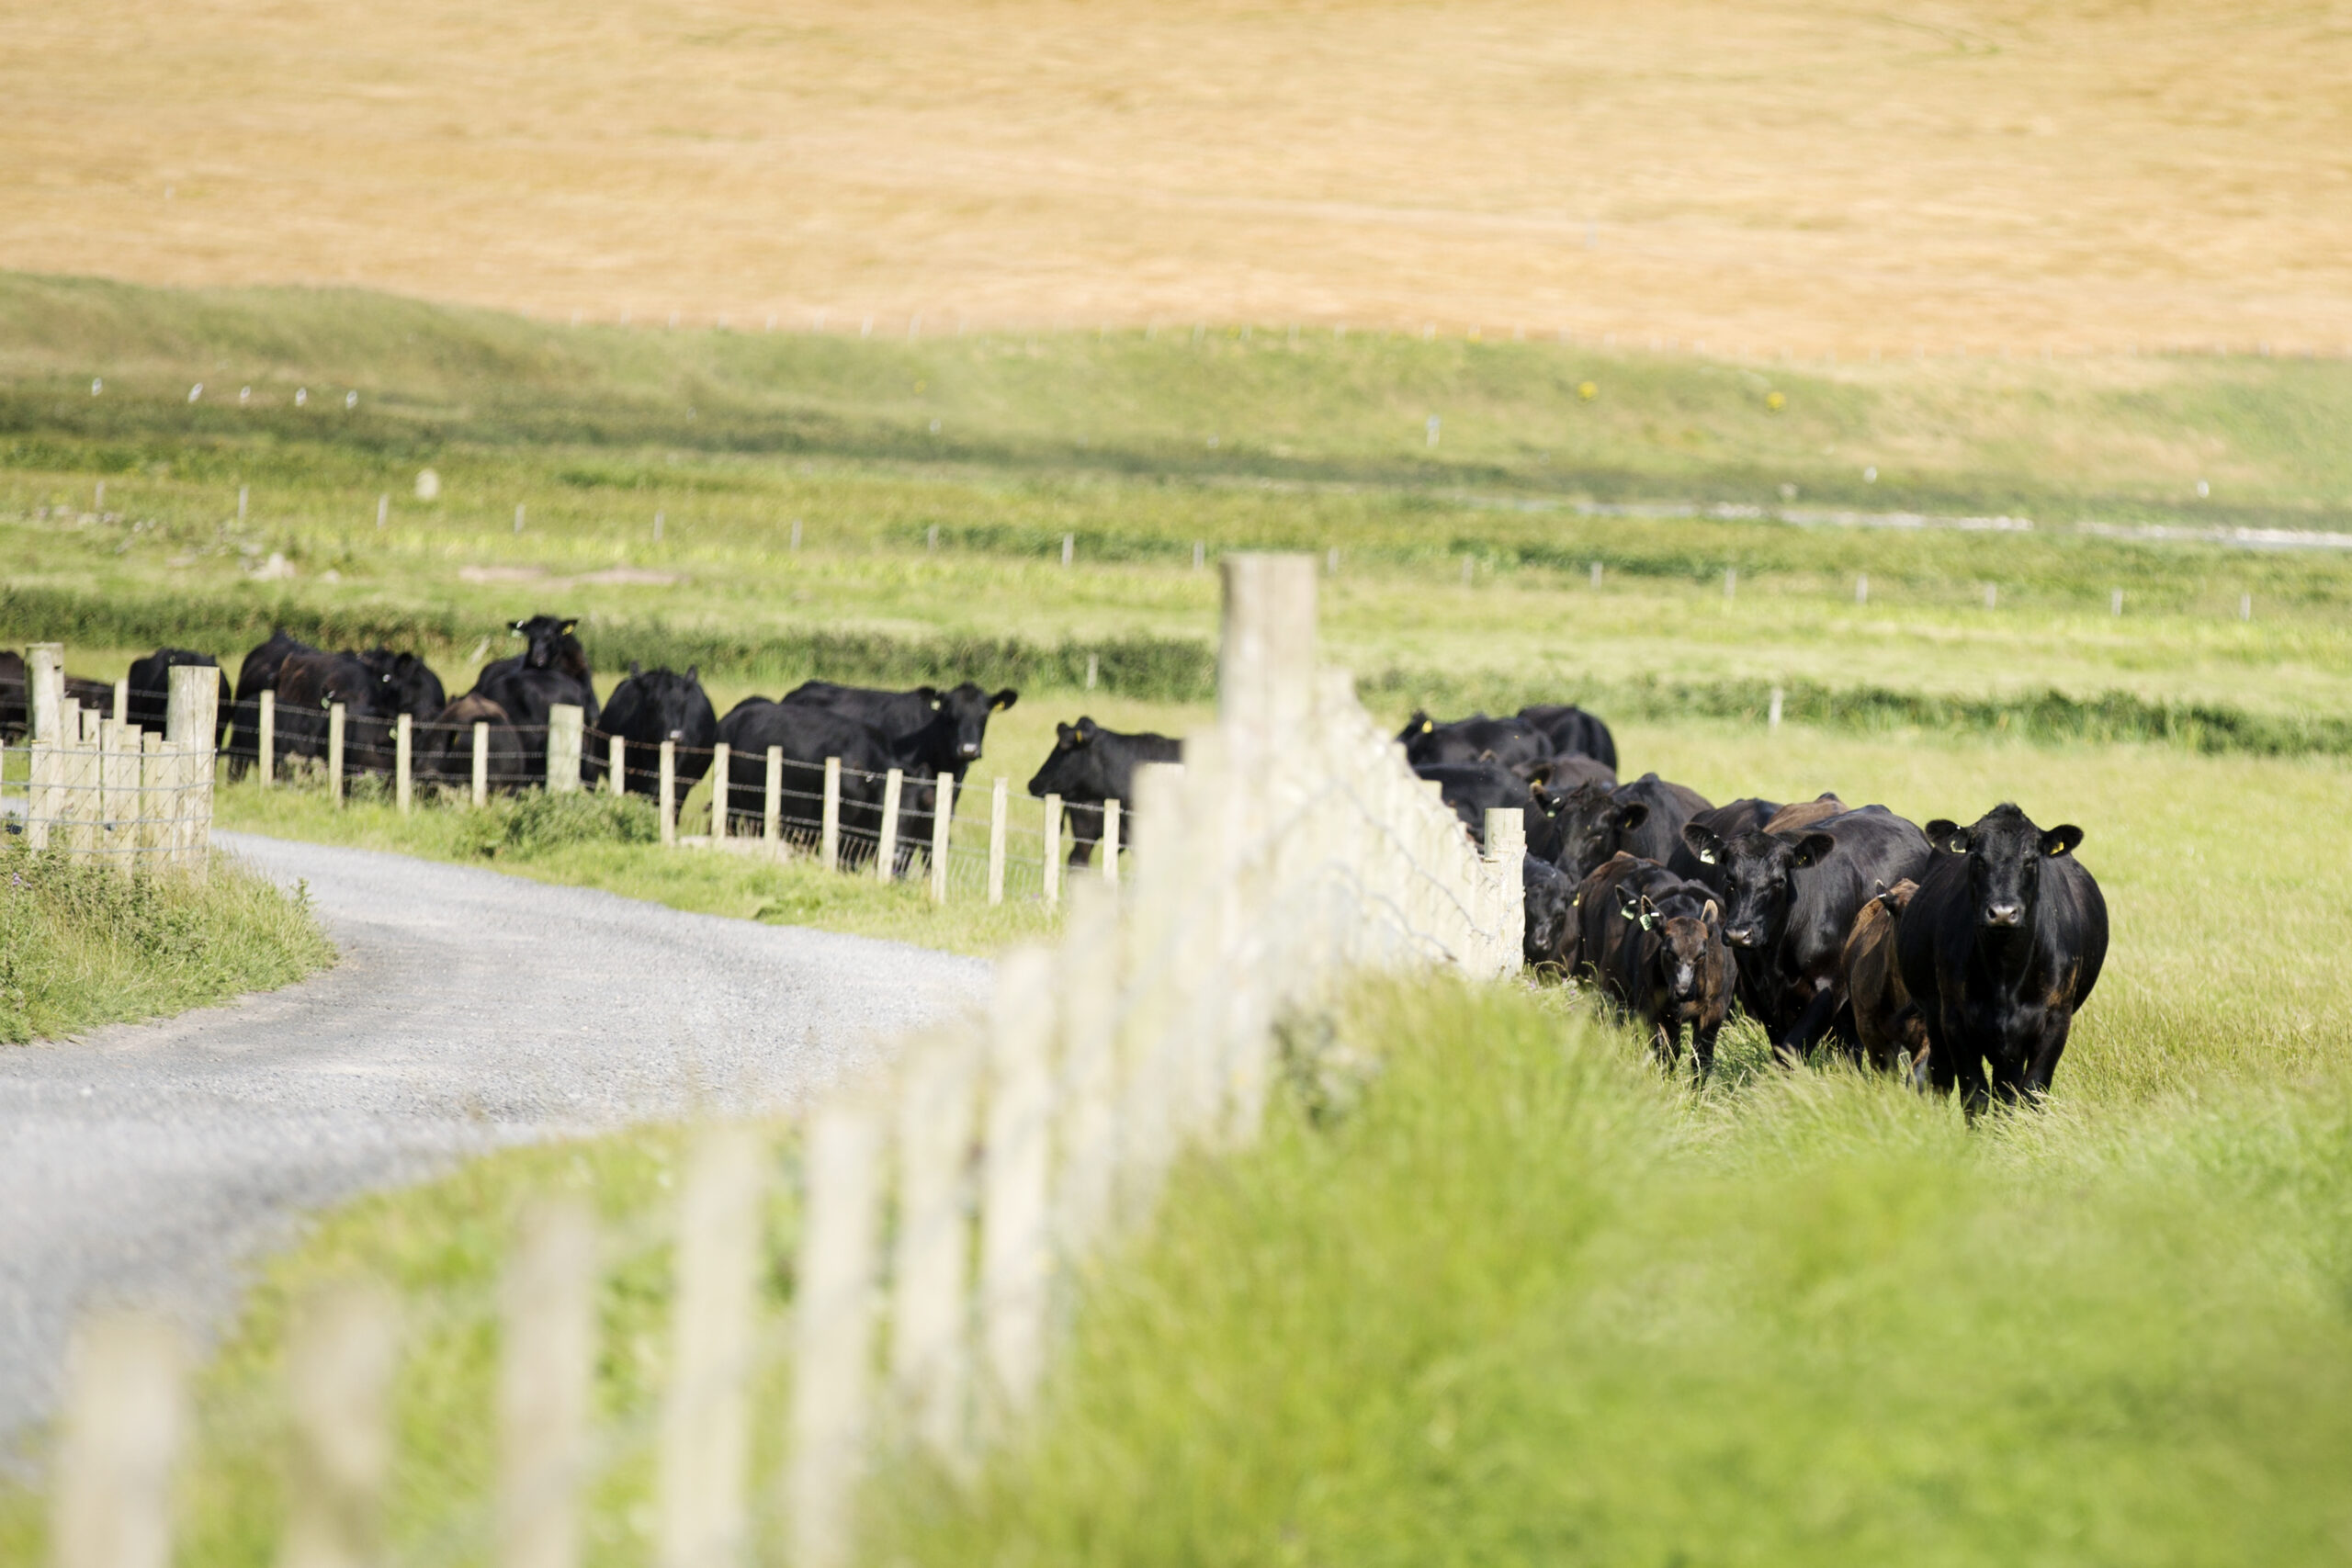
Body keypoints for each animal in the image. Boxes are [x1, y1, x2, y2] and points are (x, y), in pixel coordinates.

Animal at [1897, 805, 2108, 1113]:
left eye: (2031, 860)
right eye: (1977, 857)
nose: (2003, 913)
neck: (2005, 973)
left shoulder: (2055, 1022)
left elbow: (2032, 1093)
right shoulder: (1955, 1021)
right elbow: (1974, 1094)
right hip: (1936, 1020)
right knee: (1940, 1076)